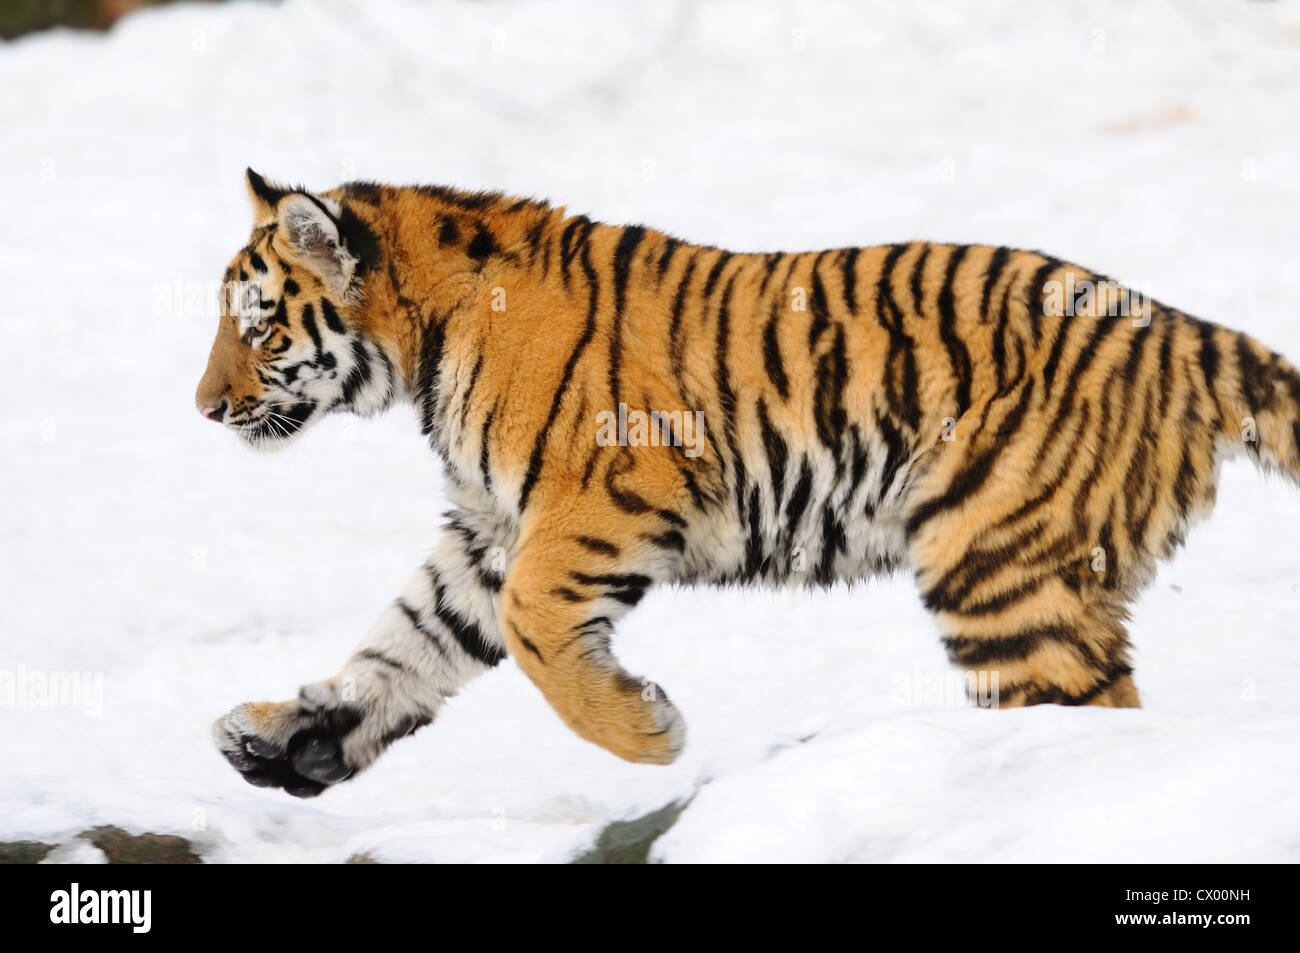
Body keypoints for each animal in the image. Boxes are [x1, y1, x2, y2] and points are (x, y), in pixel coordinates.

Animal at [199, 168, 1299, 798]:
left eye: (258, 326)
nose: (203, 409)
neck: (426, 346)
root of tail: (1179, 331)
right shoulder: (490, 526)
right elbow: (406, 639)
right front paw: (291, 737)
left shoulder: (598, 495)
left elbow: (533, 628)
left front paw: (648, 734)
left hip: (998, 565)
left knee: (1085, 709)